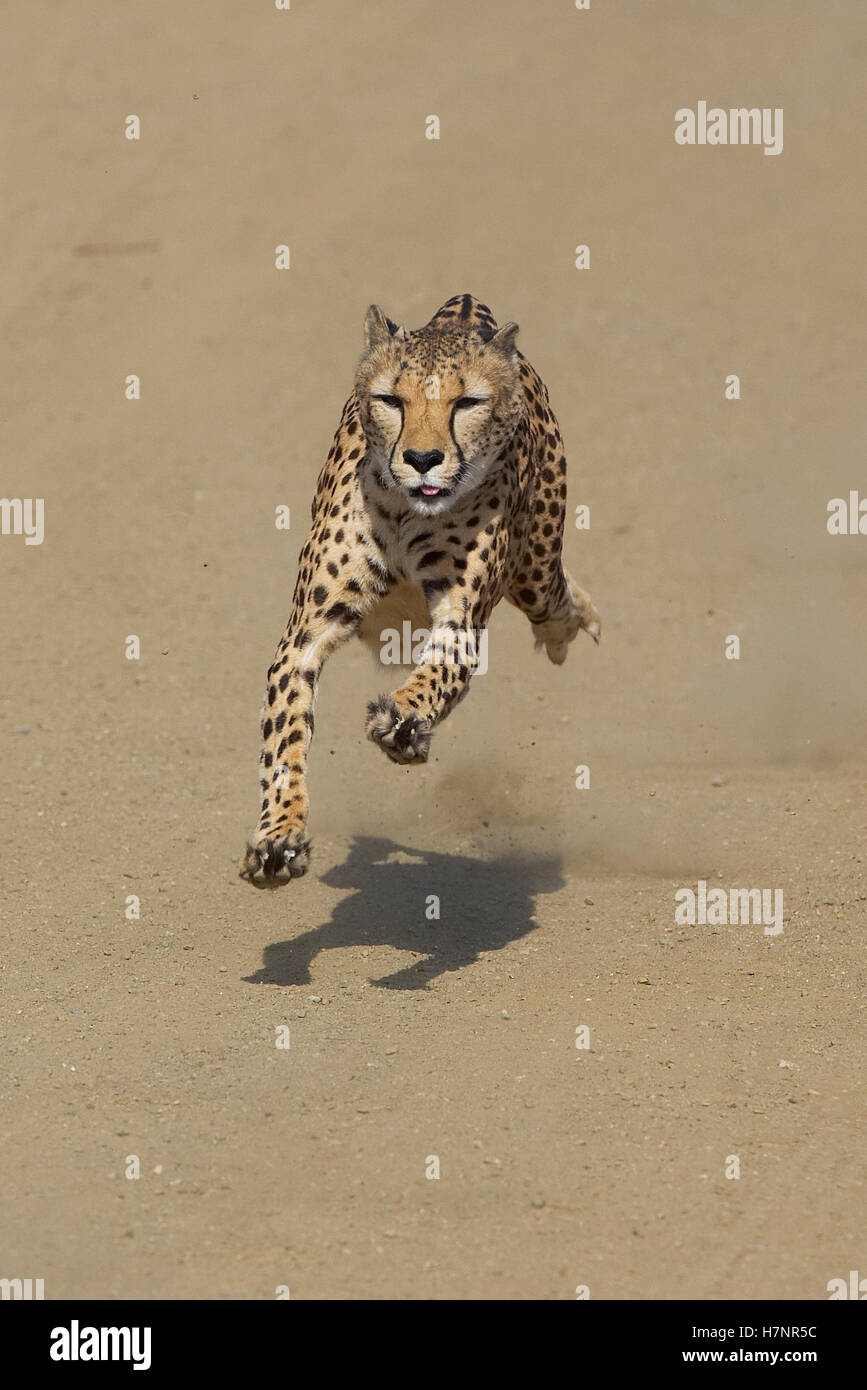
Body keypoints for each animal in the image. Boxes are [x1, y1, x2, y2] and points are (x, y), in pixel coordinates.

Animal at [239, 294, 600, 881]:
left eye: (467, 402)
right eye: (391, 399)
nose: (423, 460)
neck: (410, 515)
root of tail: (464, 305)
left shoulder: (461, 625)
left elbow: (438, 673)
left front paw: (403, 720)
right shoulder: (305, 637)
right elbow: (286, 734)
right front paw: (279, 836)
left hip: (536, 569)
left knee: (554, 600)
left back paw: (574, 624)